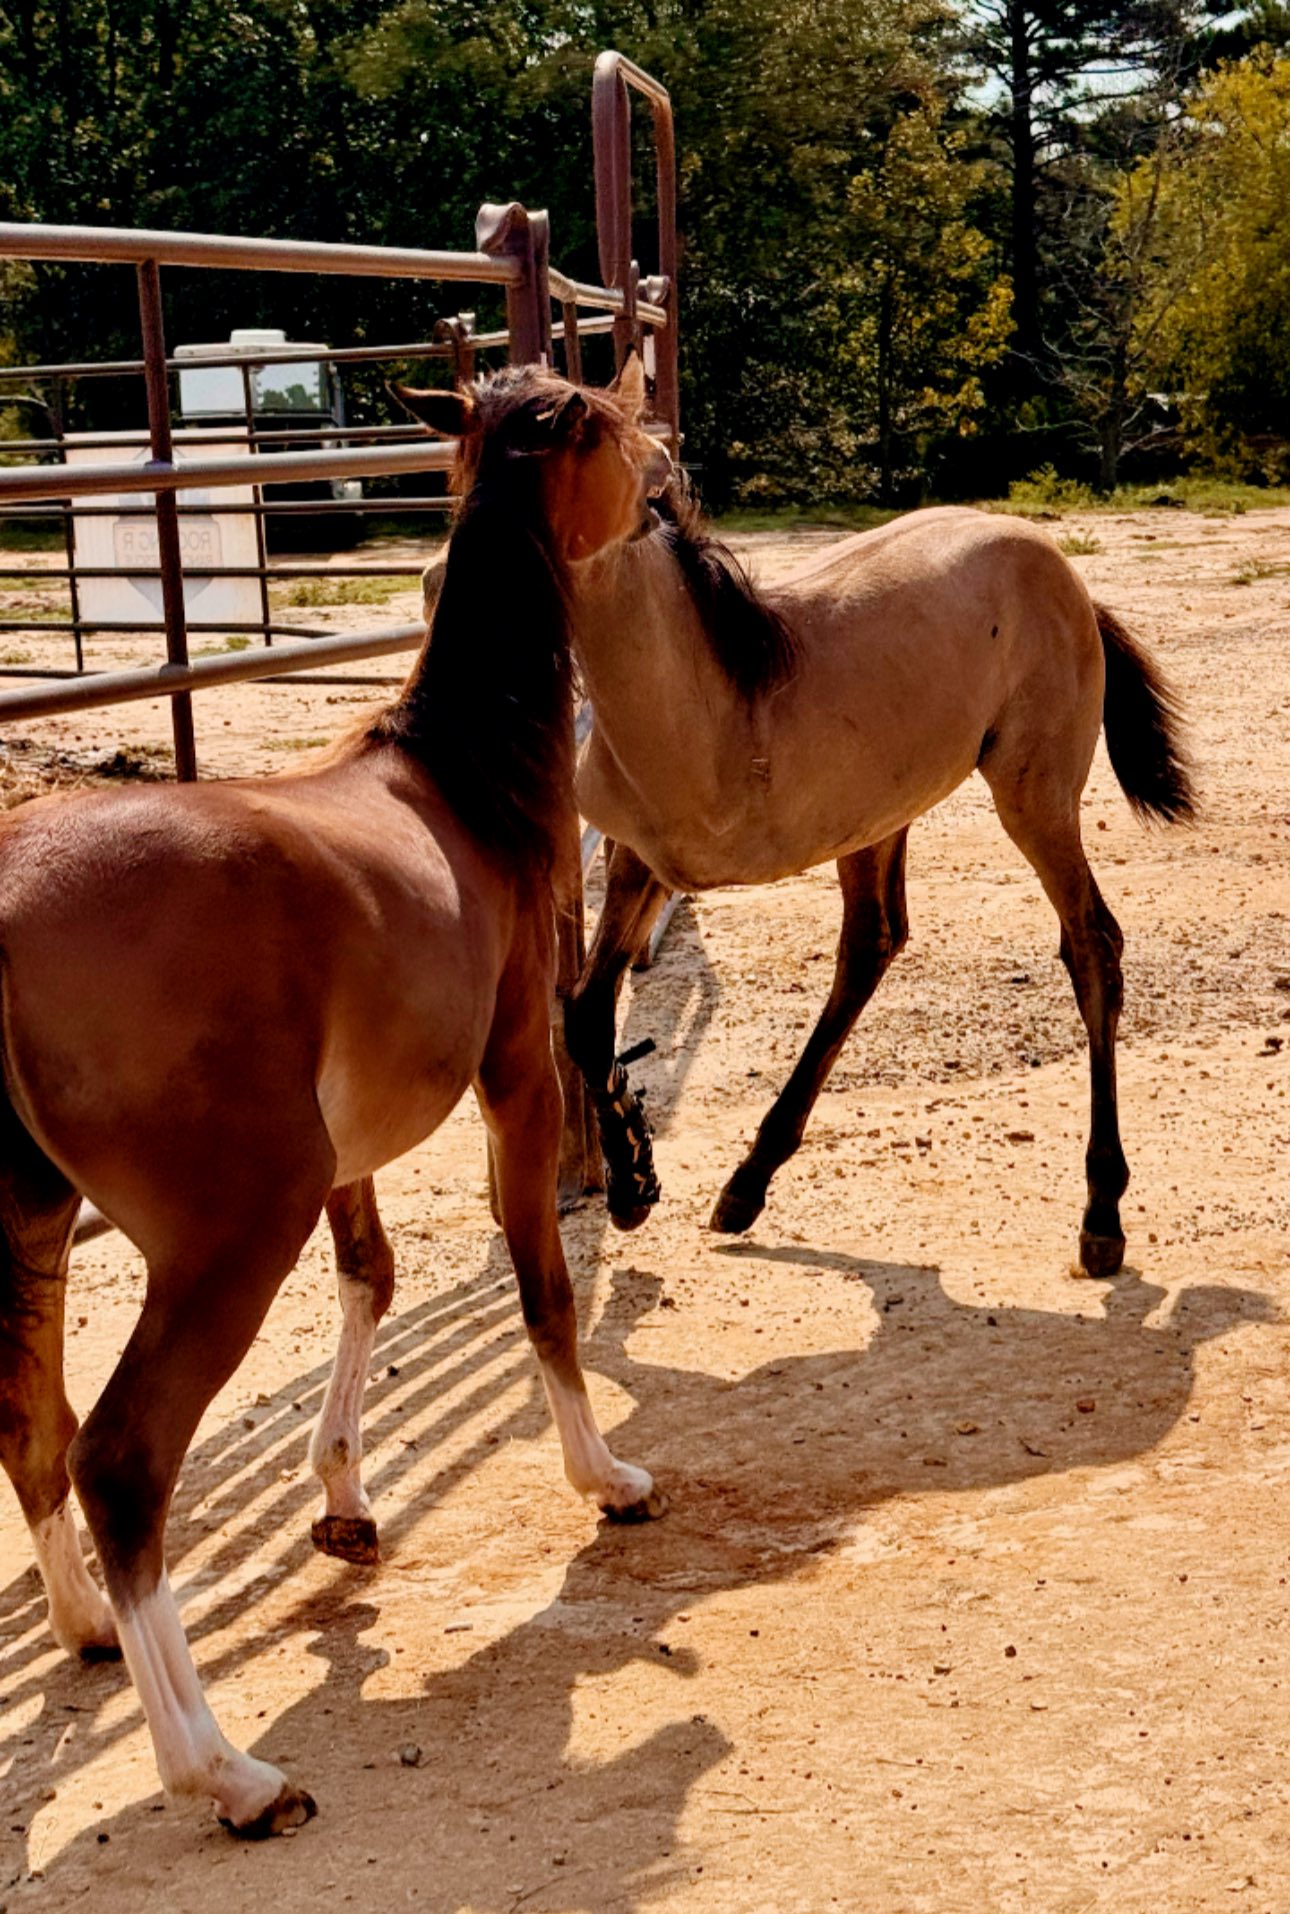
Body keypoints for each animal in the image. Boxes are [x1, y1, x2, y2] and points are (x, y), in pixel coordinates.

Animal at [0, 362, 670, 1838]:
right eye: (607, 422)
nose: (669, 481)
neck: (454, 786)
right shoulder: (516, 1083)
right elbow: (543, 1287)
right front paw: (606, 1480)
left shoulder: (350, 1149)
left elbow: (373, 1274)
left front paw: (346, 1498)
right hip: (227, 1235)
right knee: (121, 1459)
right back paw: (224, 1772)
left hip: (33, 1225)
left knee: (33, 1425)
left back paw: (86, 1629)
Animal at [402, 359, 1194, 1281]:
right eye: (461, 470)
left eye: (629, 468)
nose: (446, 582)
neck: (710, 704)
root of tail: (1062, 572)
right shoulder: (641, 860)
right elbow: (588, 1017)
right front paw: (632, 1180)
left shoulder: (659, 868)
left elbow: (591, 1017)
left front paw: (632, 1170)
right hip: (882, 817)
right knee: (872, 945)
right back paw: (747, 1181)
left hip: (1035, 798)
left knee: (1091, 945)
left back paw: (1102, 1213)